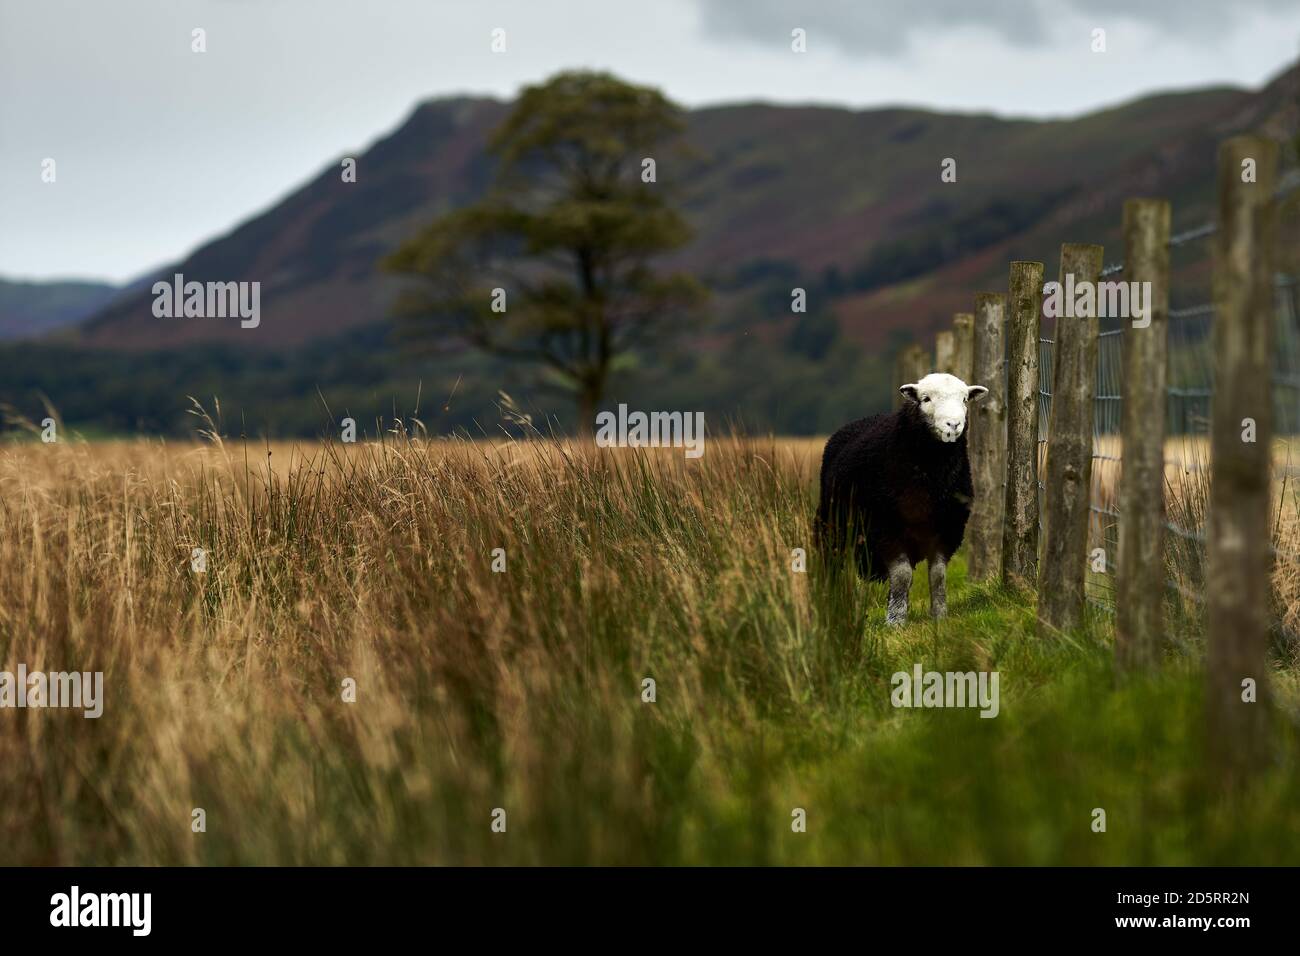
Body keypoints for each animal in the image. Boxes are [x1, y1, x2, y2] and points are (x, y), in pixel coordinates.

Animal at [816, 372, 988, 626]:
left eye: (965, 399)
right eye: (925, 399)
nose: (953, 425)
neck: (934, 474)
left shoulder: (947, 529)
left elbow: (938, 575)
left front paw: (939, 616)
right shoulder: (886, 528)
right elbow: (902, 575)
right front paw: (895, 620)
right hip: (832, 527)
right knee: (832, 565)